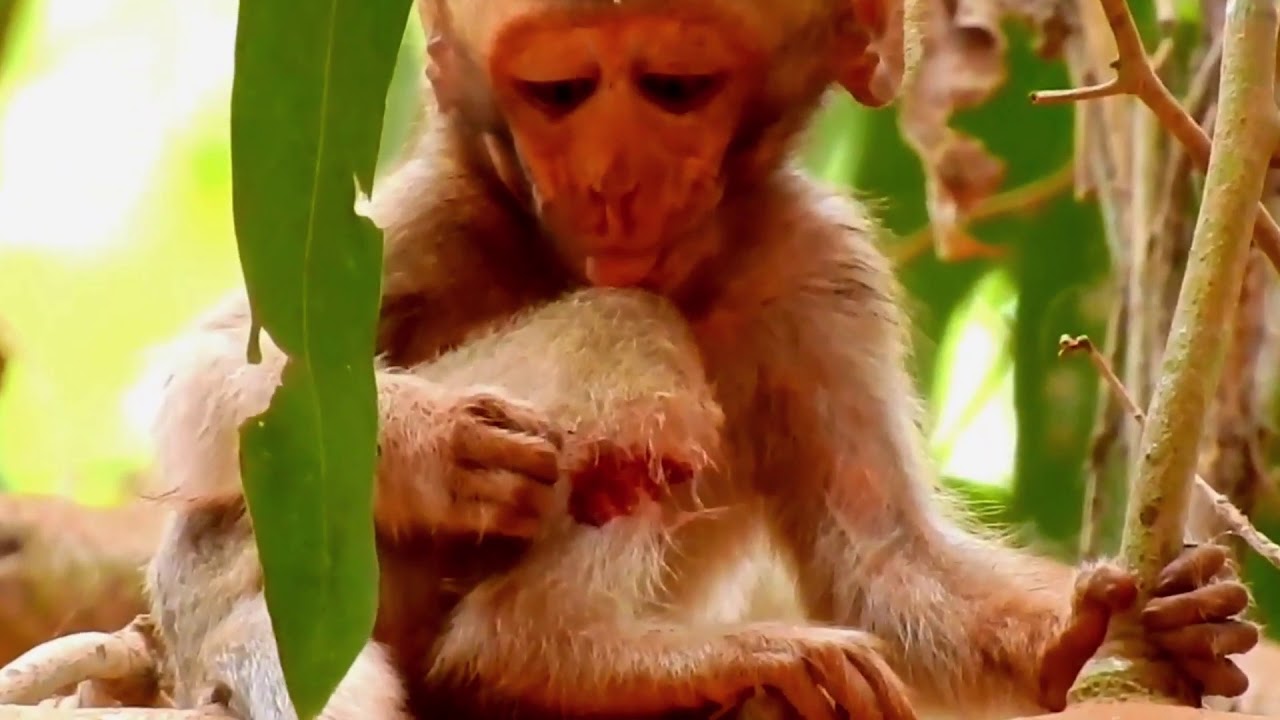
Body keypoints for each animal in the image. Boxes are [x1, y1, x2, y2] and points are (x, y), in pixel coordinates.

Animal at [143, 0, 1260, 718]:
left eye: (674, 88)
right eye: (560, 91)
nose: (611, 181)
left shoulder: (817, 265)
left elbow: (881, 563)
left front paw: (1122, 633)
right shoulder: (422, 214)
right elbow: (216, 392)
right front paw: (439, 448)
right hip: (269, 575)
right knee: (630, 340)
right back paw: (544, 652)